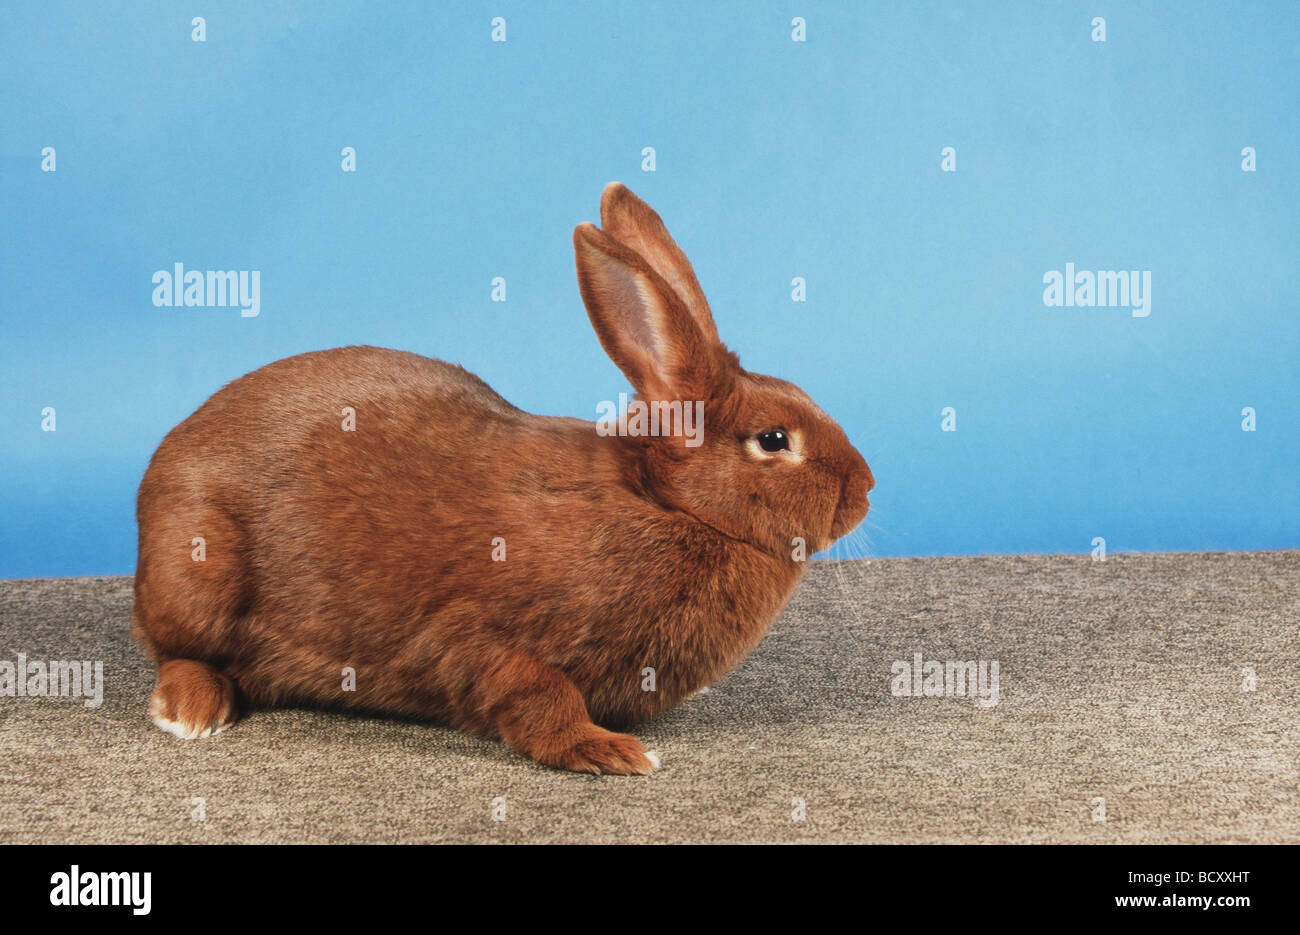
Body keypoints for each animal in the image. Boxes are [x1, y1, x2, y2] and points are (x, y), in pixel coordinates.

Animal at [132, 183, 873, 774]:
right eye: (773, 439)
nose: (865, 490)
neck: (668, 504)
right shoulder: (484, 638)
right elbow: (538, 694)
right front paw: (610, 752)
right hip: (197, 571)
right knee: (177, 650)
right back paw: (190, 711)